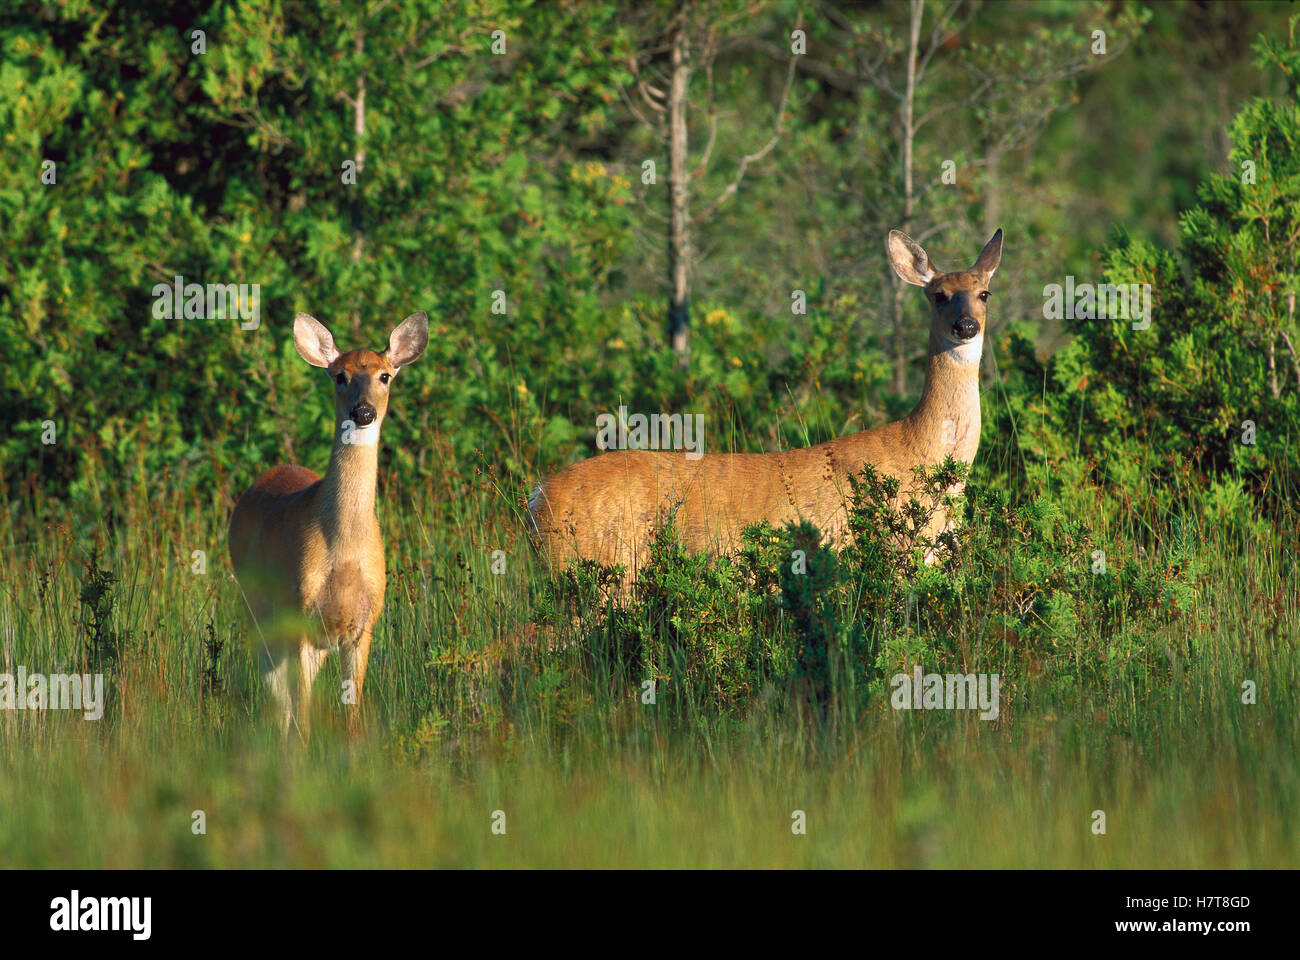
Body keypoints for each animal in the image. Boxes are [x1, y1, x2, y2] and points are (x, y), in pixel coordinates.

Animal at [228, 311, 428, 739]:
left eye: (385, 375)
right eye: (340, 375)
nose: (363, 412)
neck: (345, 552)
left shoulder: (363, 625)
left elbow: (351, 715)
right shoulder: (301, 612)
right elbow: (302, 712)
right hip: (258, 605)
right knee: (277, 695)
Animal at [528, 228, 1002, 587]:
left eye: (984, 293)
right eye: (938, 295)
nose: (965, 326)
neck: (922, 452)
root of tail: (538, 497)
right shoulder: (895, 549)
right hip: (598, 566)